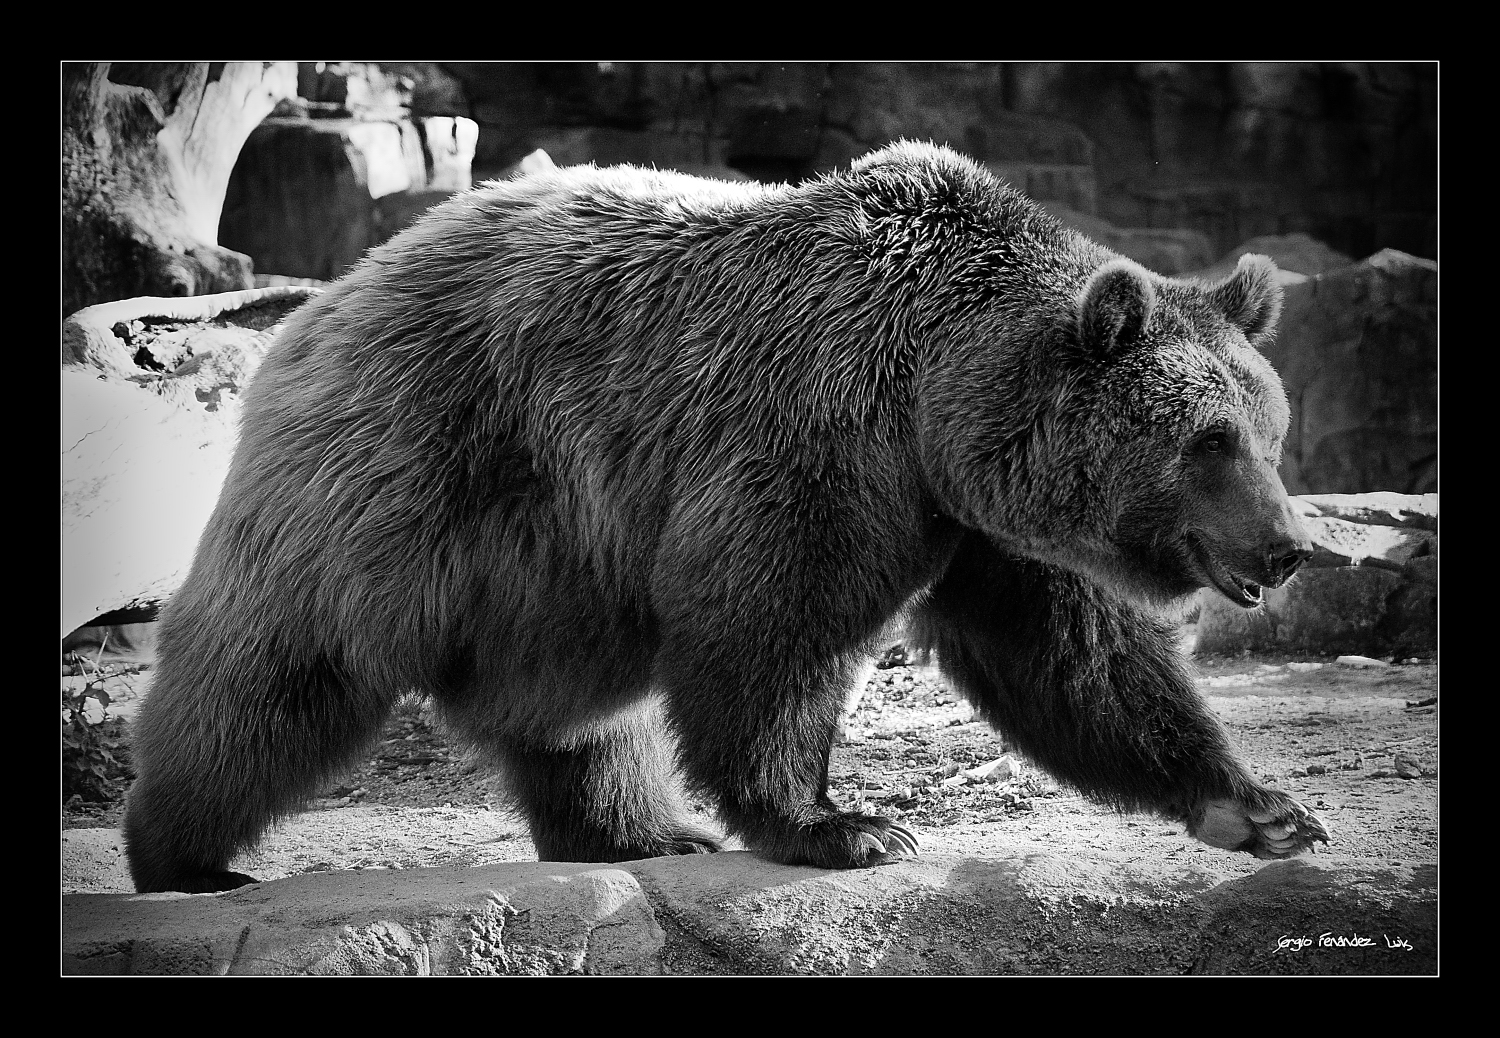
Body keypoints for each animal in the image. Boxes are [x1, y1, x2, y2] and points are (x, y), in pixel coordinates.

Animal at [122, 141, 1328, 894]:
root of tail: (344, 280)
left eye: (1269, 429)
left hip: (564, 554)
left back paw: (641, 831)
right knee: (288, 661)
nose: (1286, 549)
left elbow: (1075, 659)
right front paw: (846, 824)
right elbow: (775, 630)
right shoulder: (817, 435)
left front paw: (1260, 807)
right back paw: (183, 855)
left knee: (575, 712)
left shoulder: (983, 521)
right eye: (1207, 441)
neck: (932, 396)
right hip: (413, 456)